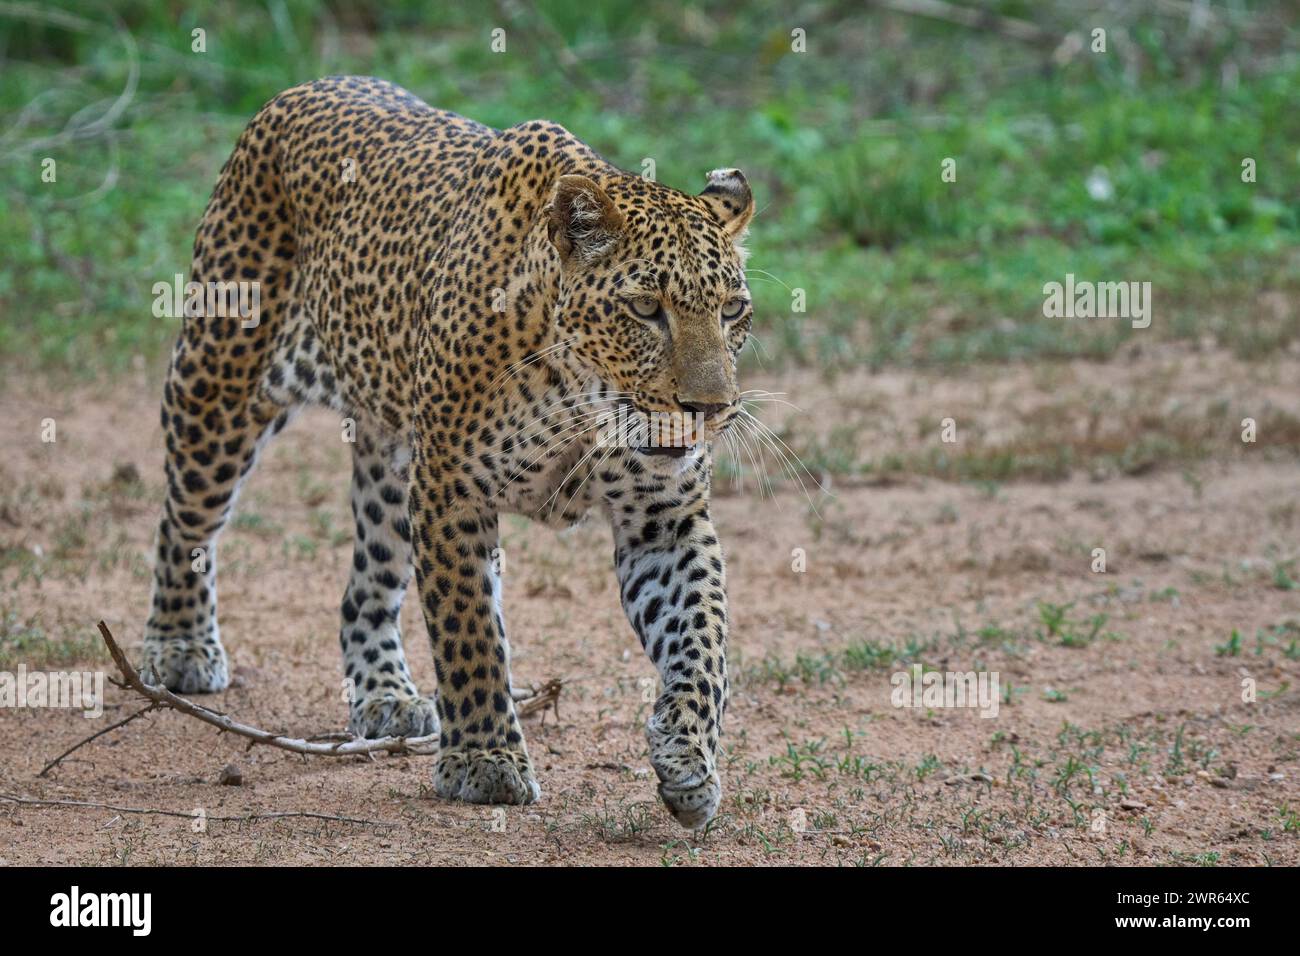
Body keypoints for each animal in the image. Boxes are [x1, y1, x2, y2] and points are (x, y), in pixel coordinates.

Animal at [140, 75, 757, 830]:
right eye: (645, 309)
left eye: (732, 310)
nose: (710, 408)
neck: (580, 396)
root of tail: (301, 88)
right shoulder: (451, 491)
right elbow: (471, 635)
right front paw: (485, 760)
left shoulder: (663, 516)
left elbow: (702, 640)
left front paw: (689, 760)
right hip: (219, 383)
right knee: (185, 521)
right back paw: (178, 644)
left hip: (388, 462)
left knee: (364, 589)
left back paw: (385, 695)